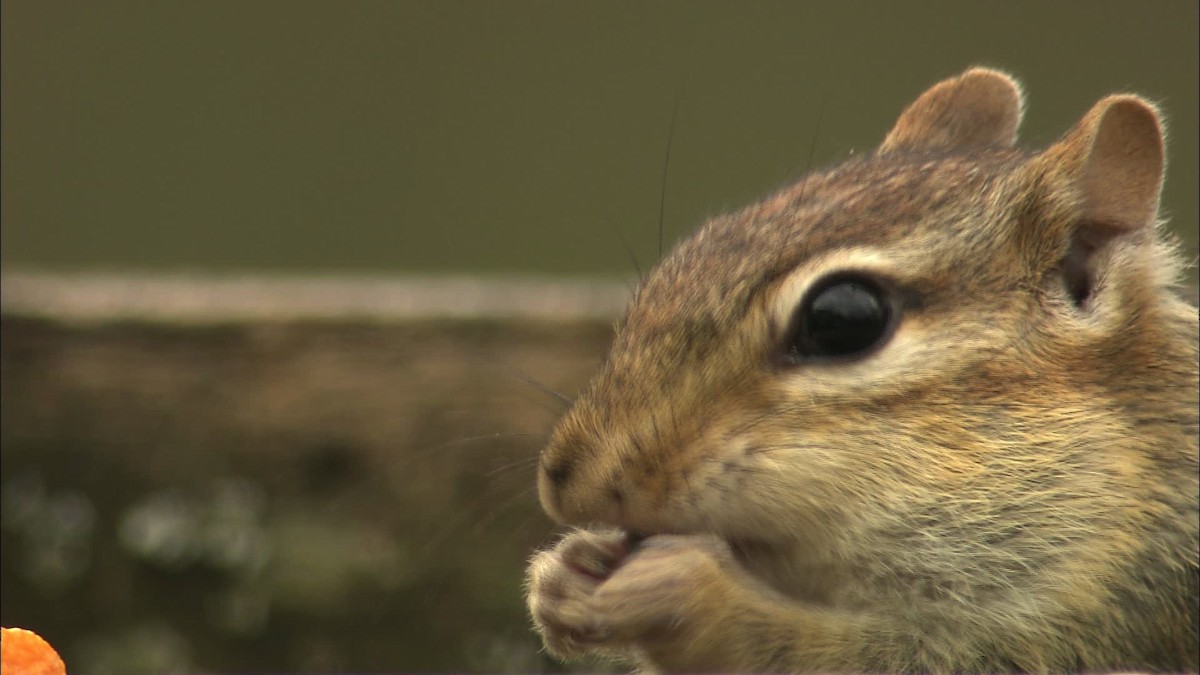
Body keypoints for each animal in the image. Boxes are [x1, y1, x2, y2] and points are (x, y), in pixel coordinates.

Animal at [524, 67, 1199, 672]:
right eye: (685, 255)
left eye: (841, 320)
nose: (563, 481)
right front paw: (563, 574)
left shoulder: (1107, 622)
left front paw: (682, 589)